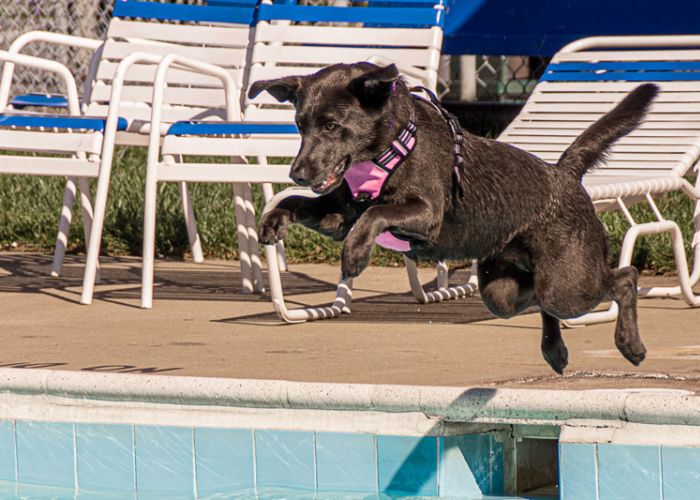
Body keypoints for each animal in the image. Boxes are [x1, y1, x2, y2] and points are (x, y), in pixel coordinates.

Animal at [250, 62, 656, 374]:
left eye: (332, 126)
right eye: (300, 125)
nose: (298, 173)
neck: (391, 147)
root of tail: (566, 175)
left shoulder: (427, 214)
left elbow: (377, 213)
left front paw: (355, 254)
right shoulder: (339, 216)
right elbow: (301, 204)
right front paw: (273, 219)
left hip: (566, 284)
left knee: (625, 277)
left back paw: (630, 344)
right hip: (502, 292)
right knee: (539, 303)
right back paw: (554, 351)